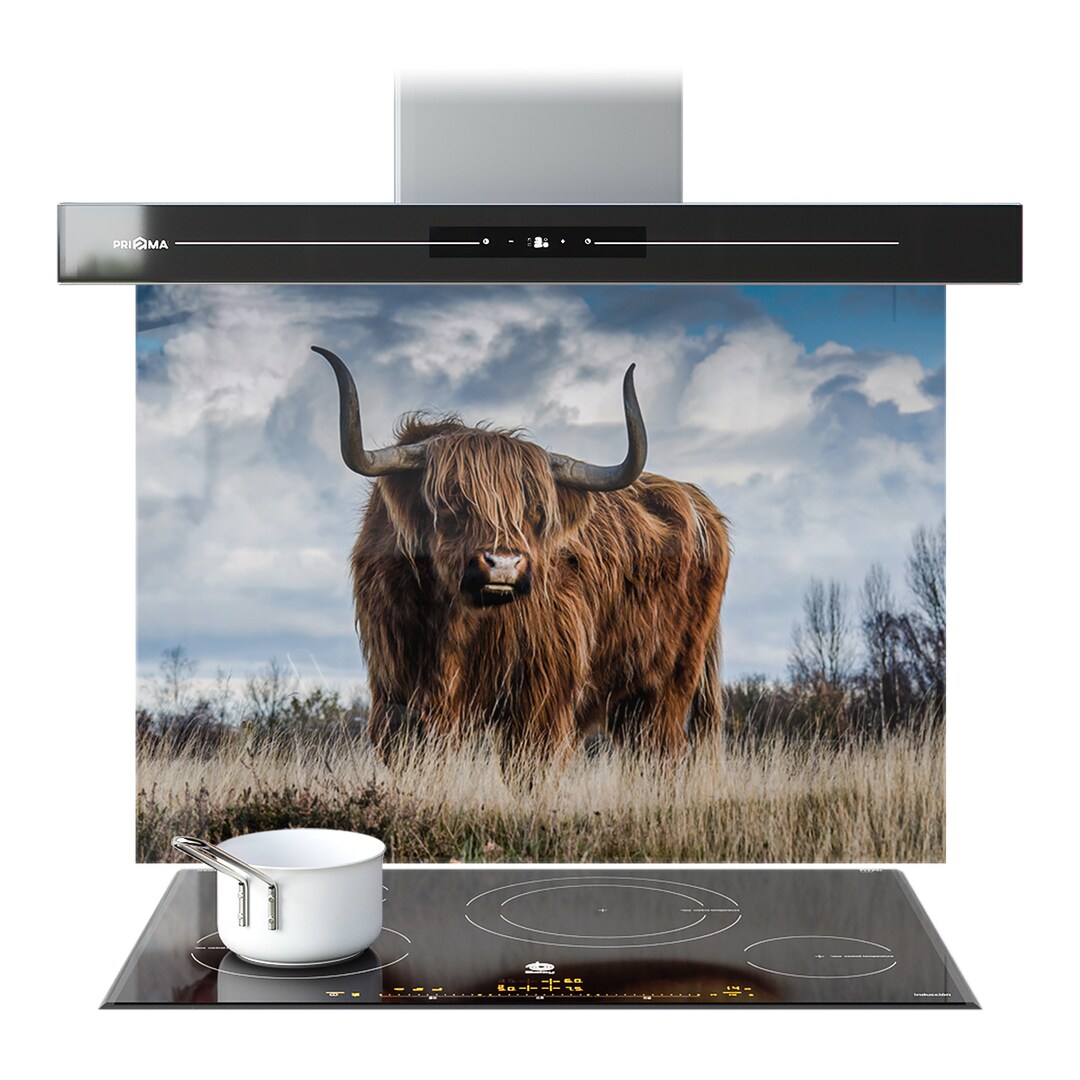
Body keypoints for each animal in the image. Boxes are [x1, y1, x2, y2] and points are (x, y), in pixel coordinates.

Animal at [313, 345, 731, 759]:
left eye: (536, 511)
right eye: (451, 502)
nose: (504, 564)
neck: (454, 624)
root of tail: (699, 503)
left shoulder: (542, 696)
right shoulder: (396, 694)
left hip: (667, 688)